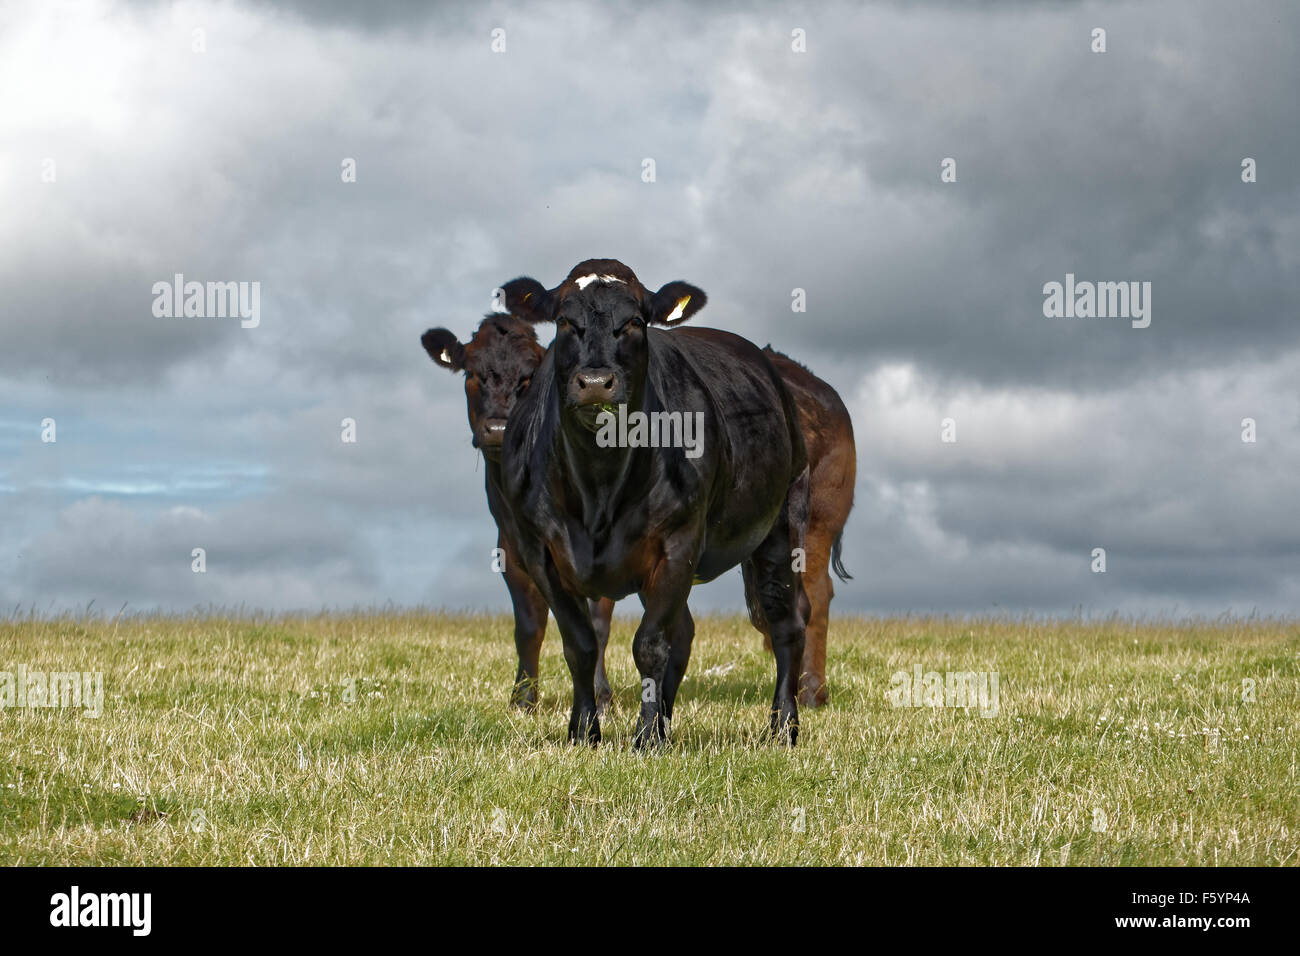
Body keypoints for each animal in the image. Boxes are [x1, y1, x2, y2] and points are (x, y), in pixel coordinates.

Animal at [494, 258, 811, 747]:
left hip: (781, 524)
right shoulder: (538, 551)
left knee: (786, 625)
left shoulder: (679, 541)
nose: (595, 383)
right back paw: (665, 719)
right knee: (685, 633)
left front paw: (645, 738)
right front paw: (584, 732)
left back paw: (782, 728)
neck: (599, 486)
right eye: (564, 320)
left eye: (635, 322)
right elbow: (580, 645)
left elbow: (649, 645)